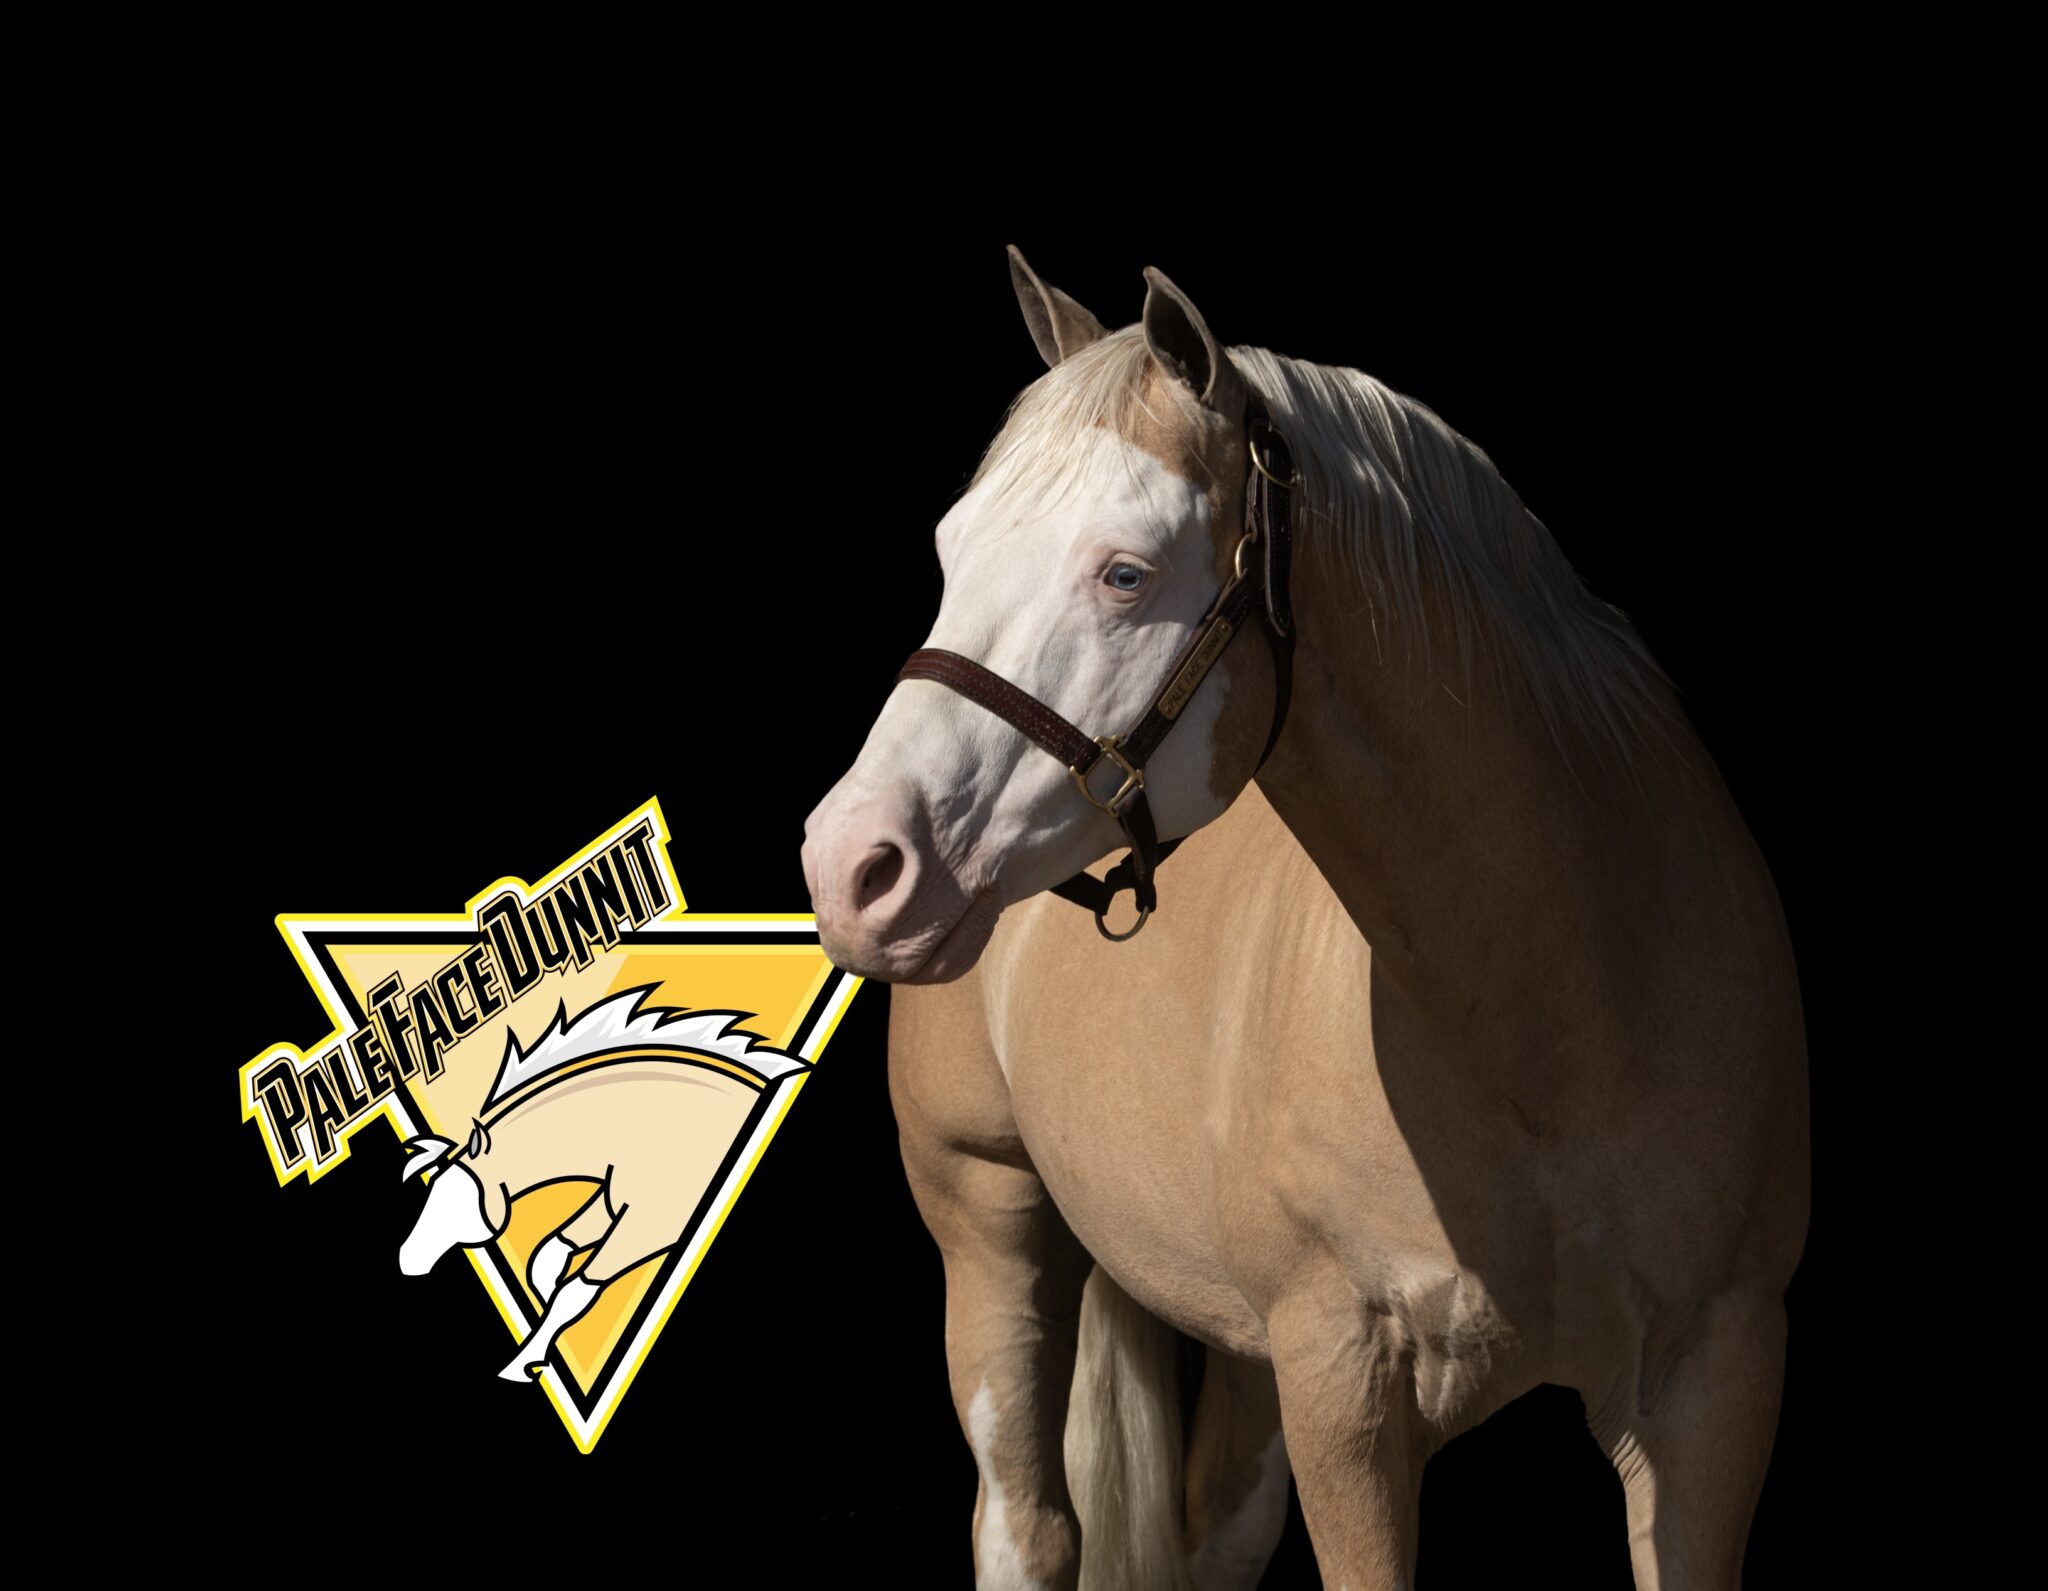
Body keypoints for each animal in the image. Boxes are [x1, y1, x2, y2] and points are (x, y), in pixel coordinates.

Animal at [396, 985, 810, 1381]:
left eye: (455, 1202)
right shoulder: (611, 1204)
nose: (407, 1259)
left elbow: (574, 1291)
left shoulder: (647, 1231)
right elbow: (549, 1253)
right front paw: (544, 1320)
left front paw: (524, 1361)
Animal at [800, 248, 1809, 1589]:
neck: (1549, 1020)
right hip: (987, 1220)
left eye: (1124, 573)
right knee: (1026, 1522)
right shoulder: (1346, 1386)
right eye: (951, 549)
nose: (852, 862)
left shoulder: (1710, 1389)